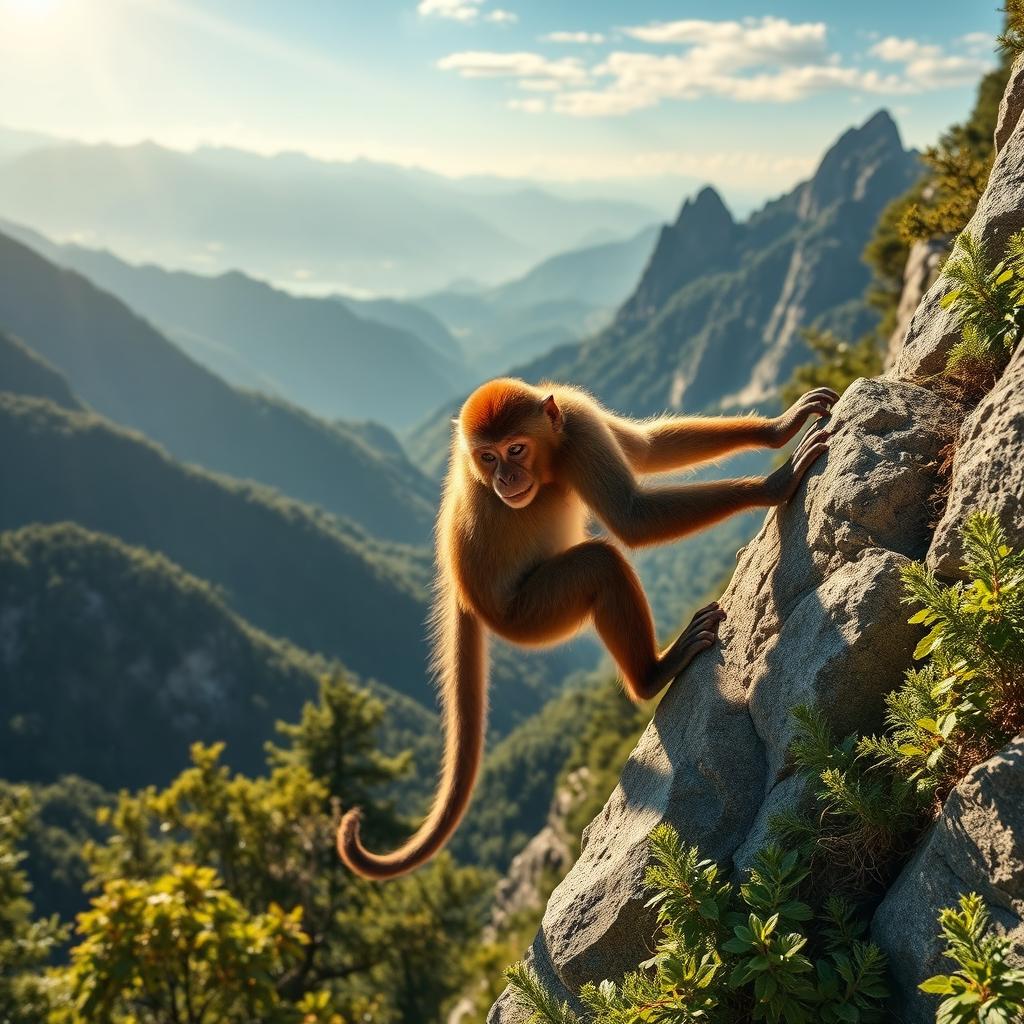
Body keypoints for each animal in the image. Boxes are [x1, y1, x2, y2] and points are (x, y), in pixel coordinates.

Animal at [337, 378, 837, 879]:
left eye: (514, 449)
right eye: (488, 457)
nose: (504, 479)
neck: (551, 455)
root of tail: (465, 593)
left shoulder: (577, 422)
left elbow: (644, 449)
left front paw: (780, 428)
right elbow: (633, 519)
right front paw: (775, 484)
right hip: (531, 615)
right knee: (601, 564)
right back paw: (652, 675)